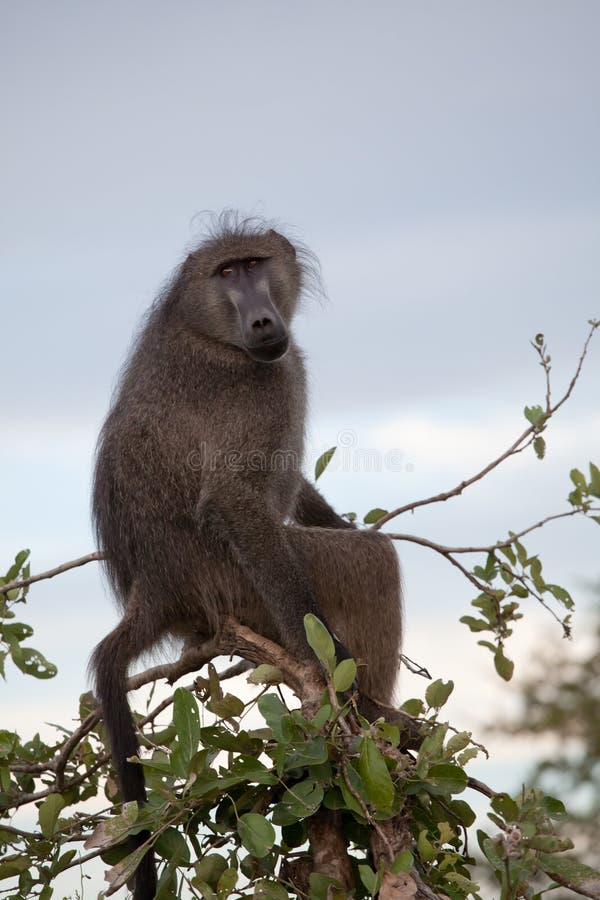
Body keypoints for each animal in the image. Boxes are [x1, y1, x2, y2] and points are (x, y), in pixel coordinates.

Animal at [91, 215, 402, 899]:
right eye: (227, 274)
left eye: (255, 265)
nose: (261, 320)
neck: (203, 326)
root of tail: (156, 587)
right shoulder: (265, 385)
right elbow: (233, 500)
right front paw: (331, 664)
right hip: (238, 586)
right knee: (375, 563)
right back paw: (381, 723)